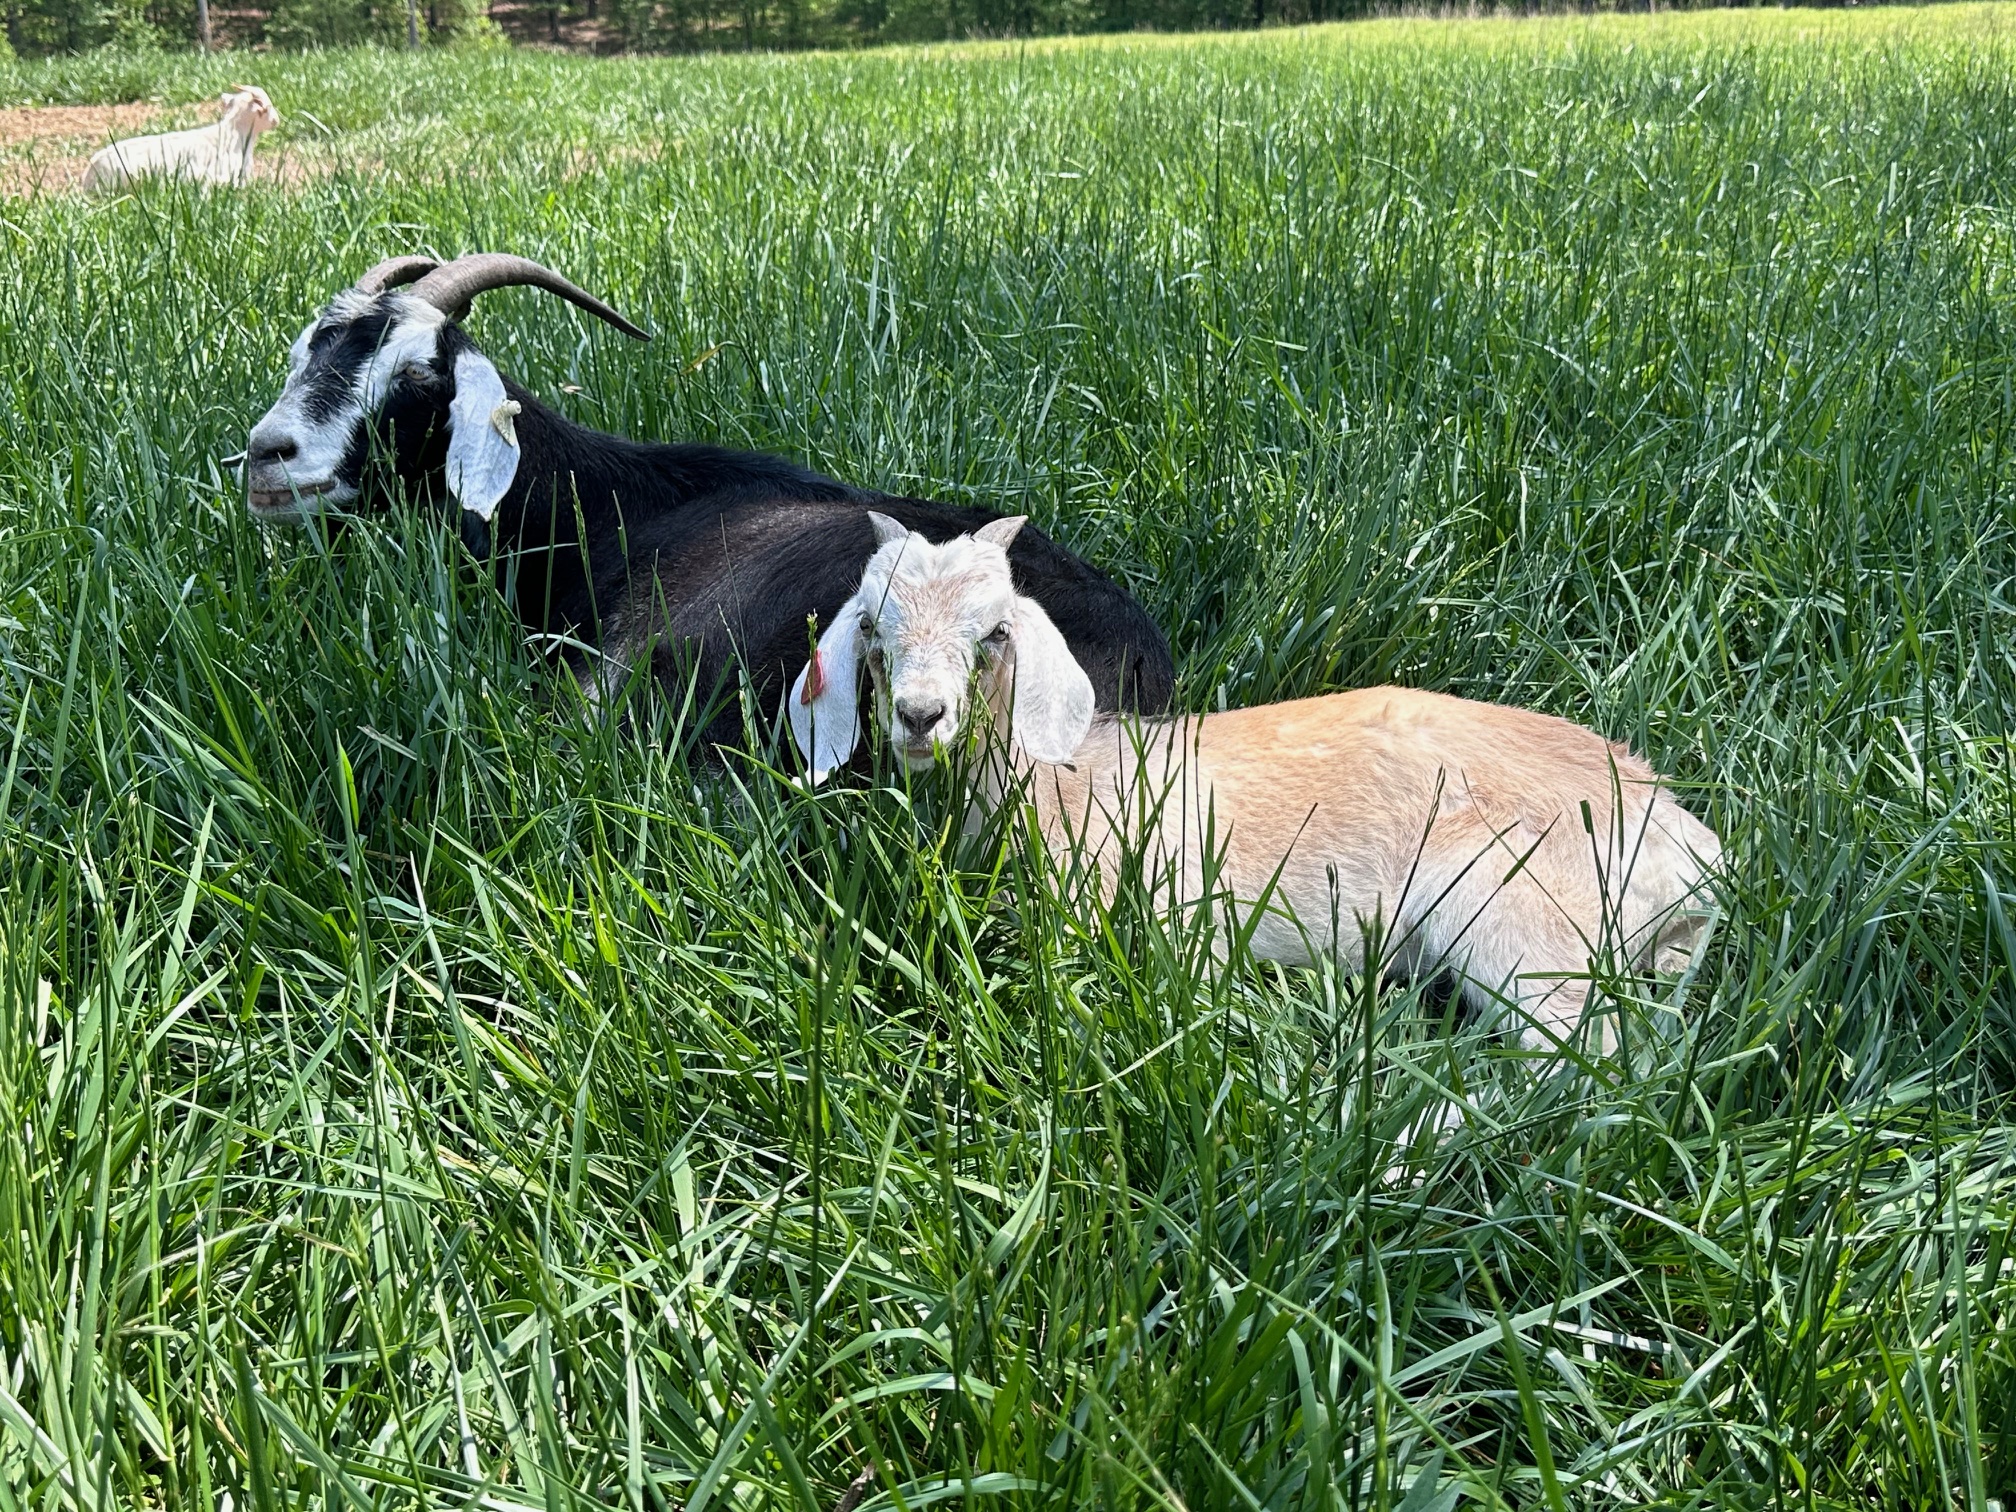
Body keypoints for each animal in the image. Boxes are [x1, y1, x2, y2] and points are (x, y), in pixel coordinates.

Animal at [790, 514, 1723, 1048]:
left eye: (993, 634)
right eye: (871, 627)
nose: (919, 717)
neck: (1055, 781)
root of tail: (1689, 850)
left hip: (1520, 916)